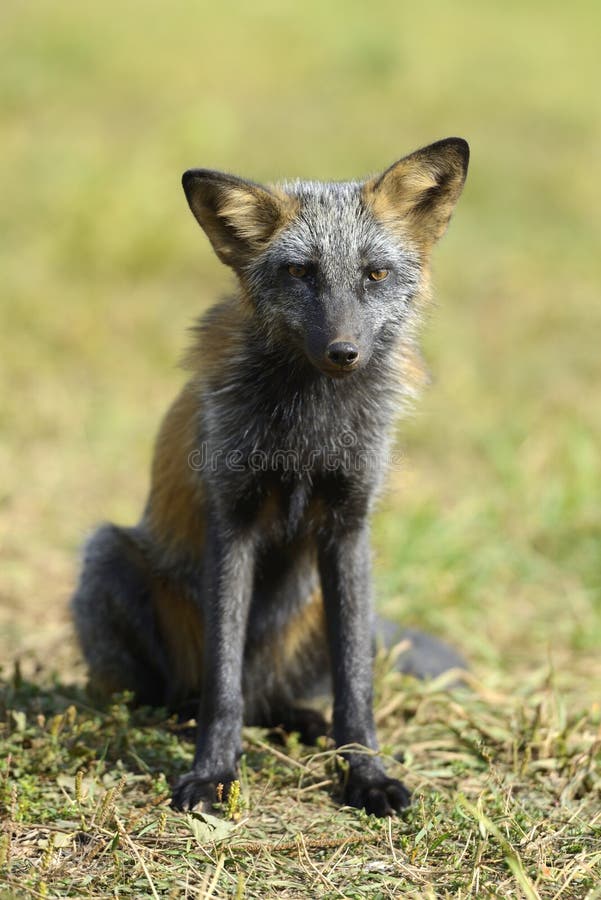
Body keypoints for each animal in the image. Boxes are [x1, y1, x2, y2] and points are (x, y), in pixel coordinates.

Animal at [72, 137, 469, 818]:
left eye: (376, 274)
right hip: (108, 559)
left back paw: (299, 721)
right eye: (300, 272)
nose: (343, 352)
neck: (308, 433)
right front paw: (213, 775)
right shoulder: (232, 521)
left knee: (276, 698)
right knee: (191, 694)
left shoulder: (348, 528)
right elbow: (221, 685)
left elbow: (355, 691)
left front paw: (365, 776)